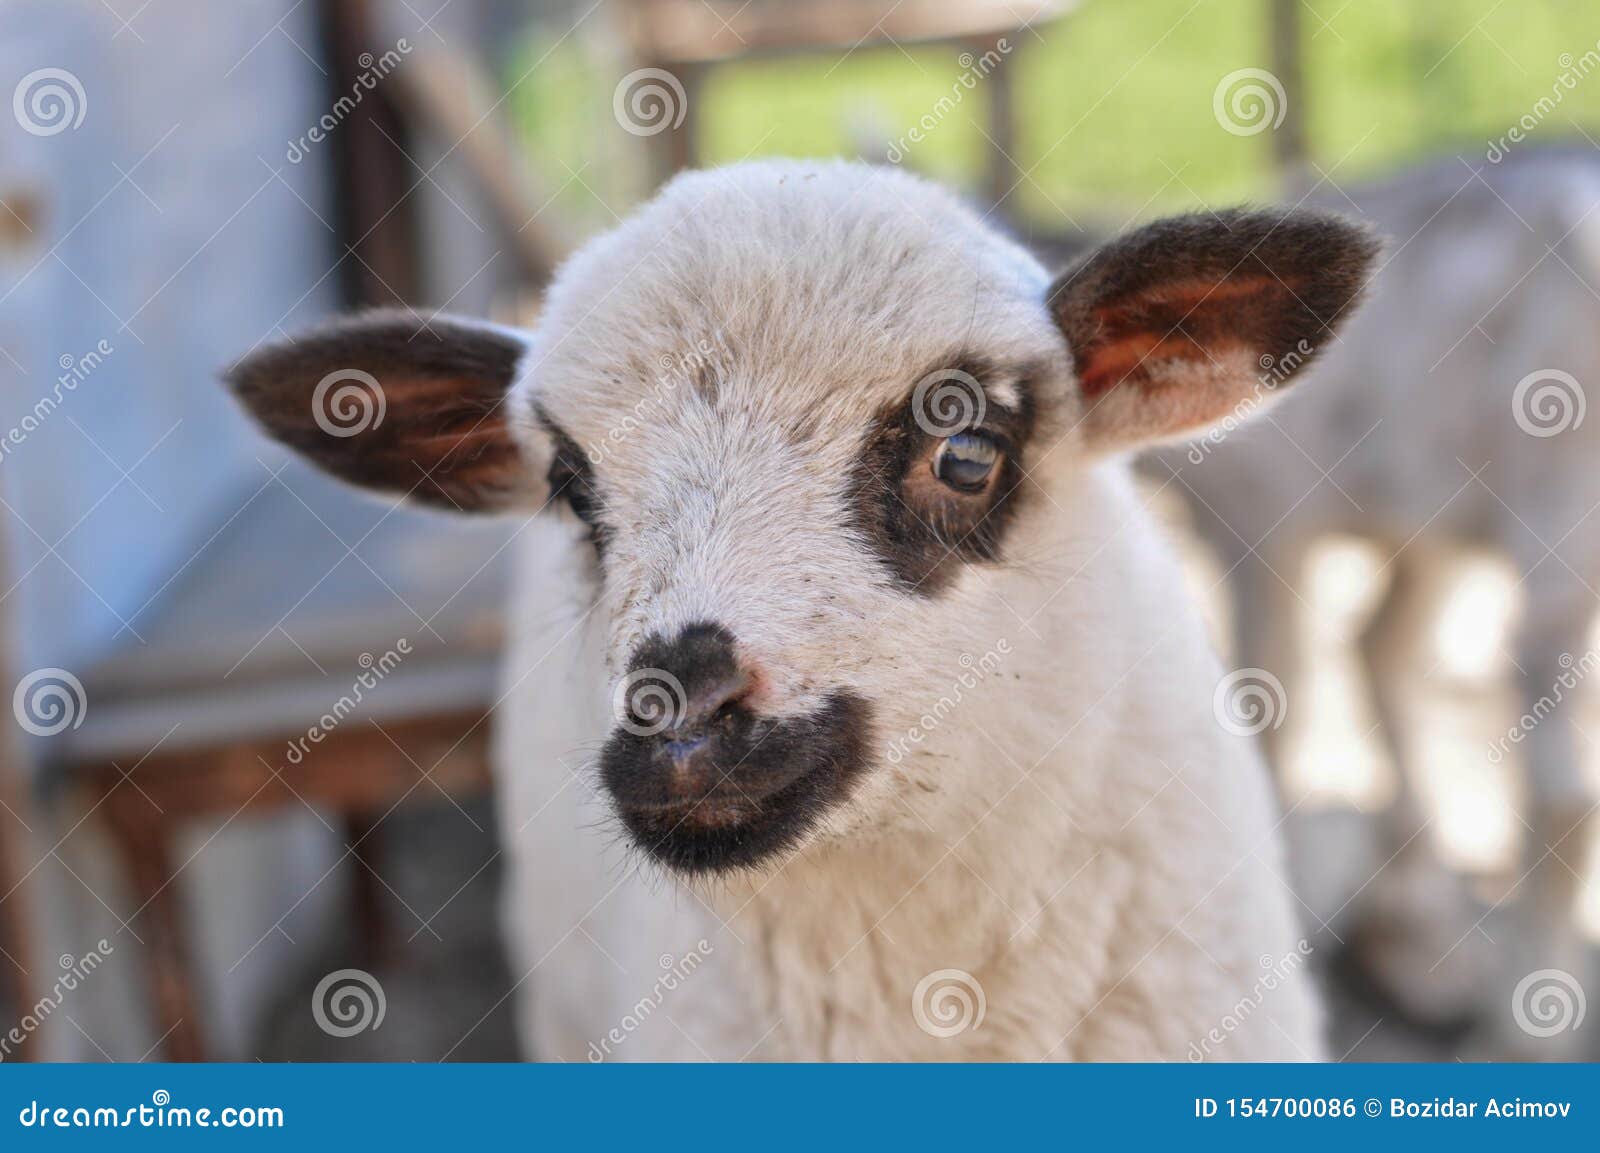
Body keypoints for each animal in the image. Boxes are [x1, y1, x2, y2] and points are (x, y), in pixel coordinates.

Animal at [1162, 148, 1600, 1052]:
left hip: (1561, 492)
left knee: (1560, 767)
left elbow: (1270, 704)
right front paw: (1414, 924)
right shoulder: (1420, 526)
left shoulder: (1263, 519)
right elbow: (1377, 651)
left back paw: (1525, 1027)